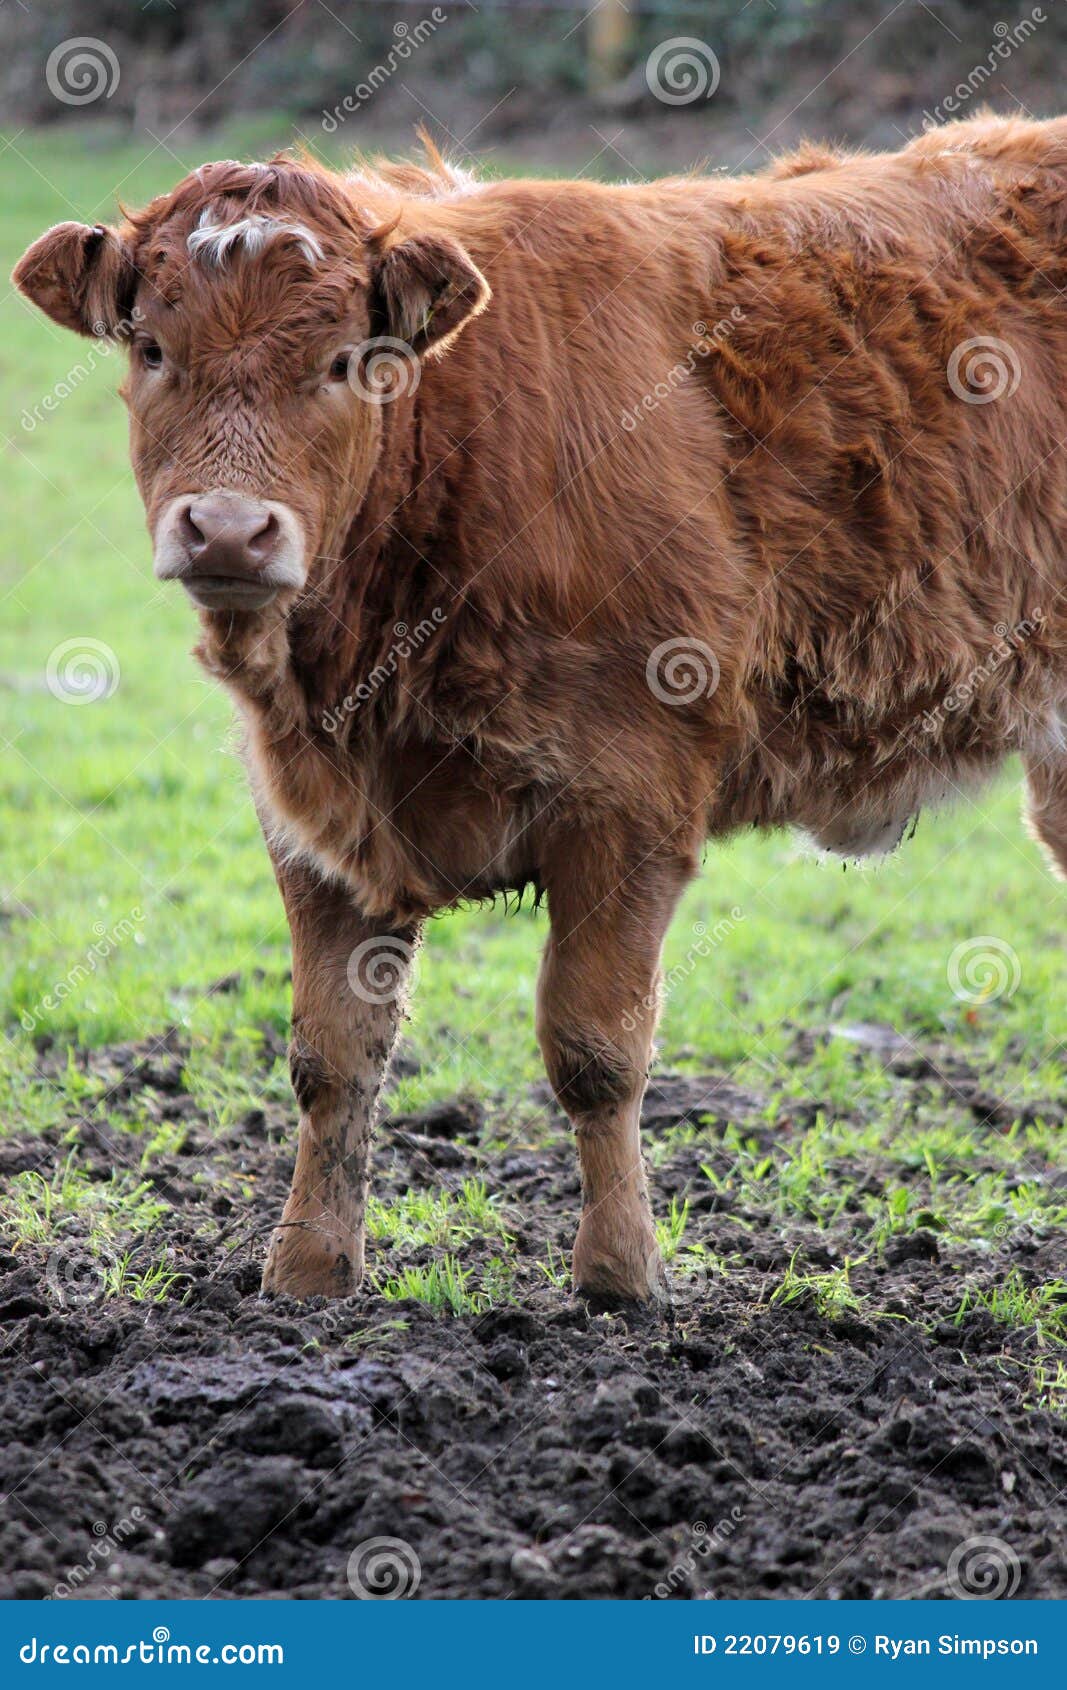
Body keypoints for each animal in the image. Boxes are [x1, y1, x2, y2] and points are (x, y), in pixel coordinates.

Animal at [14, 114, 1066, 1306]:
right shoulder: (311, 827)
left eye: (345, 360)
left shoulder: (629, 798)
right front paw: (309, 1267)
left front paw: (619, 1274)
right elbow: (331, 1057)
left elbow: (593, 1051)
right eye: (151, 351)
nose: (229, 530)